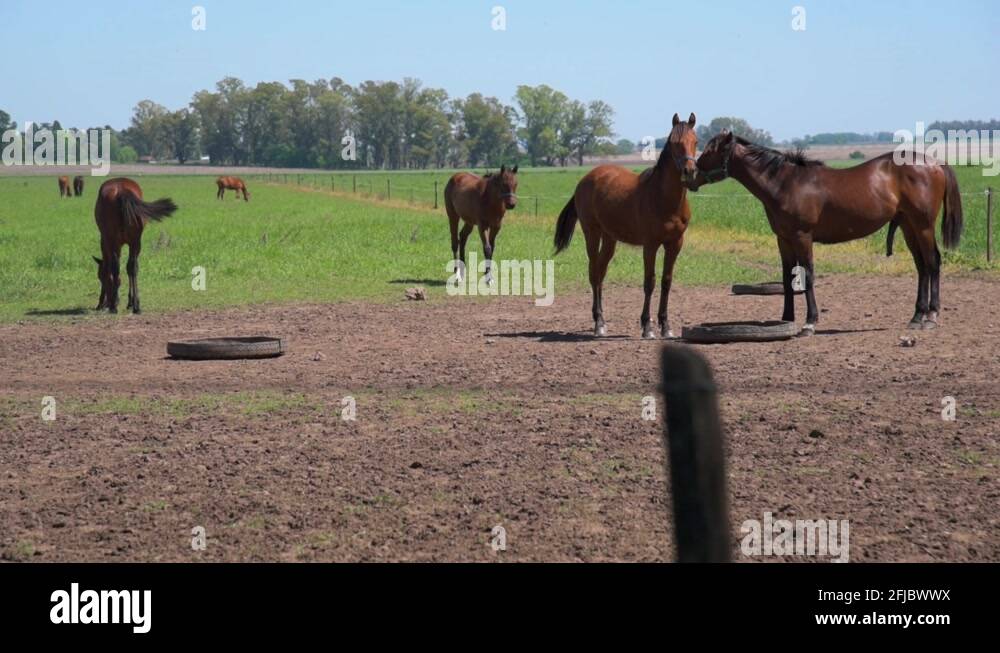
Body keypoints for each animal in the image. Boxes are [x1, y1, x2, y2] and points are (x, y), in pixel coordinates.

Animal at [93, 178, 177, 314]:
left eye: (101, 277)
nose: (103, 304)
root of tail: (121, 190)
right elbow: (129, 269)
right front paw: (130, 302)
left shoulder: (109, 243)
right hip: (136, 242)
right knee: (132, 267)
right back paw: (136, 305)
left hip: (115, 241)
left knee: (117, 267)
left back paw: (114, 306)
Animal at [554, 113, 699, 339]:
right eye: (675, 142)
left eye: (696, 141)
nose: (689, 171)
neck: (663, 198)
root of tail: (586, 179)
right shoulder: (650, 245)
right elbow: (649, 282)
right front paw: (647, 327)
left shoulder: (675, 243)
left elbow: (666, 281)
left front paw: (666, 326)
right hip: (591, 233)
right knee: (594, 272)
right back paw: (599, 324)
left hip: (609, 238)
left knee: (600, 273)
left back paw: (600, 319)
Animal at [692, 130, 963, 332]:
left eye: (710, 150)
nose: (689, 174)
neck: (786, 183)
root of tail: (935, 164)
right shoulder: (784, 239)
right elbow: (787, 278)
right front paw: (786, 318)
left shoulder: (802, 237)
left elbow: (807, 275)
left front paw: (810, 322)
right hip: (909, 226)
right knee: (922, 266)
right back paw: (917, 317)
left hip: (923, 225)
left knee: (933, 262)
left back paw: (931, 316)